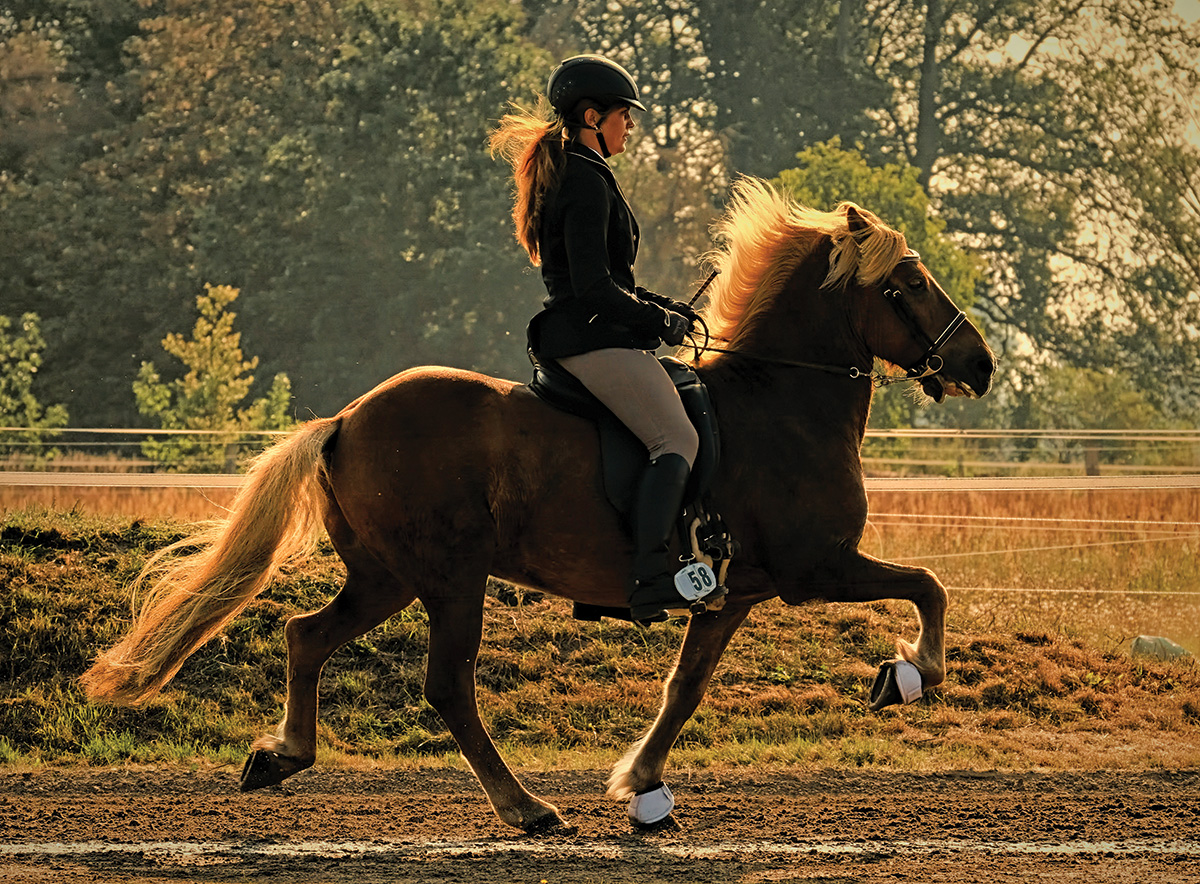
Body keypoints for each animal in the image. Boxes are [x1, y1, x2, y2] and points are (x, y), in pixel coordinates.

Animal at [81, 177, 995, 833]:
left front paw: (643, 786)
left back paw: (280, 758)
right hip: (450, 579)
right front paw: (910, 675)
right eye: (910, 282)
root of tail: (344, 419)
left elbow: (685, 688)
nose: (980, 366)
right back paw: (526, 810)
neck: (781, 400)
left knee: (307, 636)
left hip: (386, 577)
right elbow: (929, 586)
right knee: (448, 686)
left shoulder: (734, 594)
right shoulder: (817, 568)